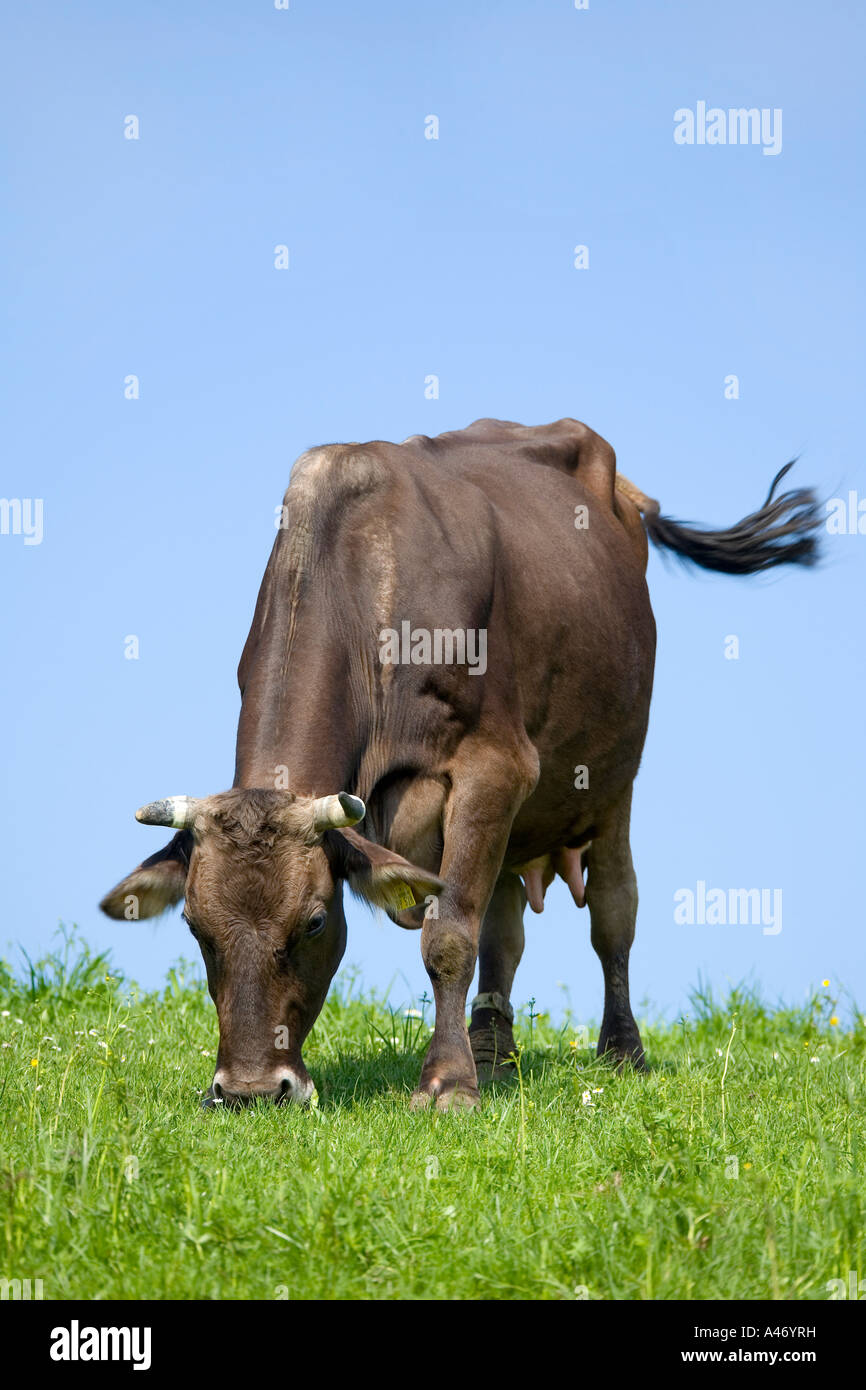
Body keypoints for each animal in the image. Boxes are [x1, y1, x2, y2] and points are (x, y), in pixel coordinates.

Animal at [100, 418, 820, 1109]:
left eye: (315, 921)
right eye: (195, 926)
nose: (250, 1090)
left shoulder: (493, 767)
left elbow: (448, 937)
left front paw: (447, 1083)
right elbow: (477, 927)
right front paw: (468, 1069)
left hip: (614, 783)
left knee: (614, 913)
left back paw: (620, 1051)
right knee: (504, 929)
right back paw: (494, 1053)